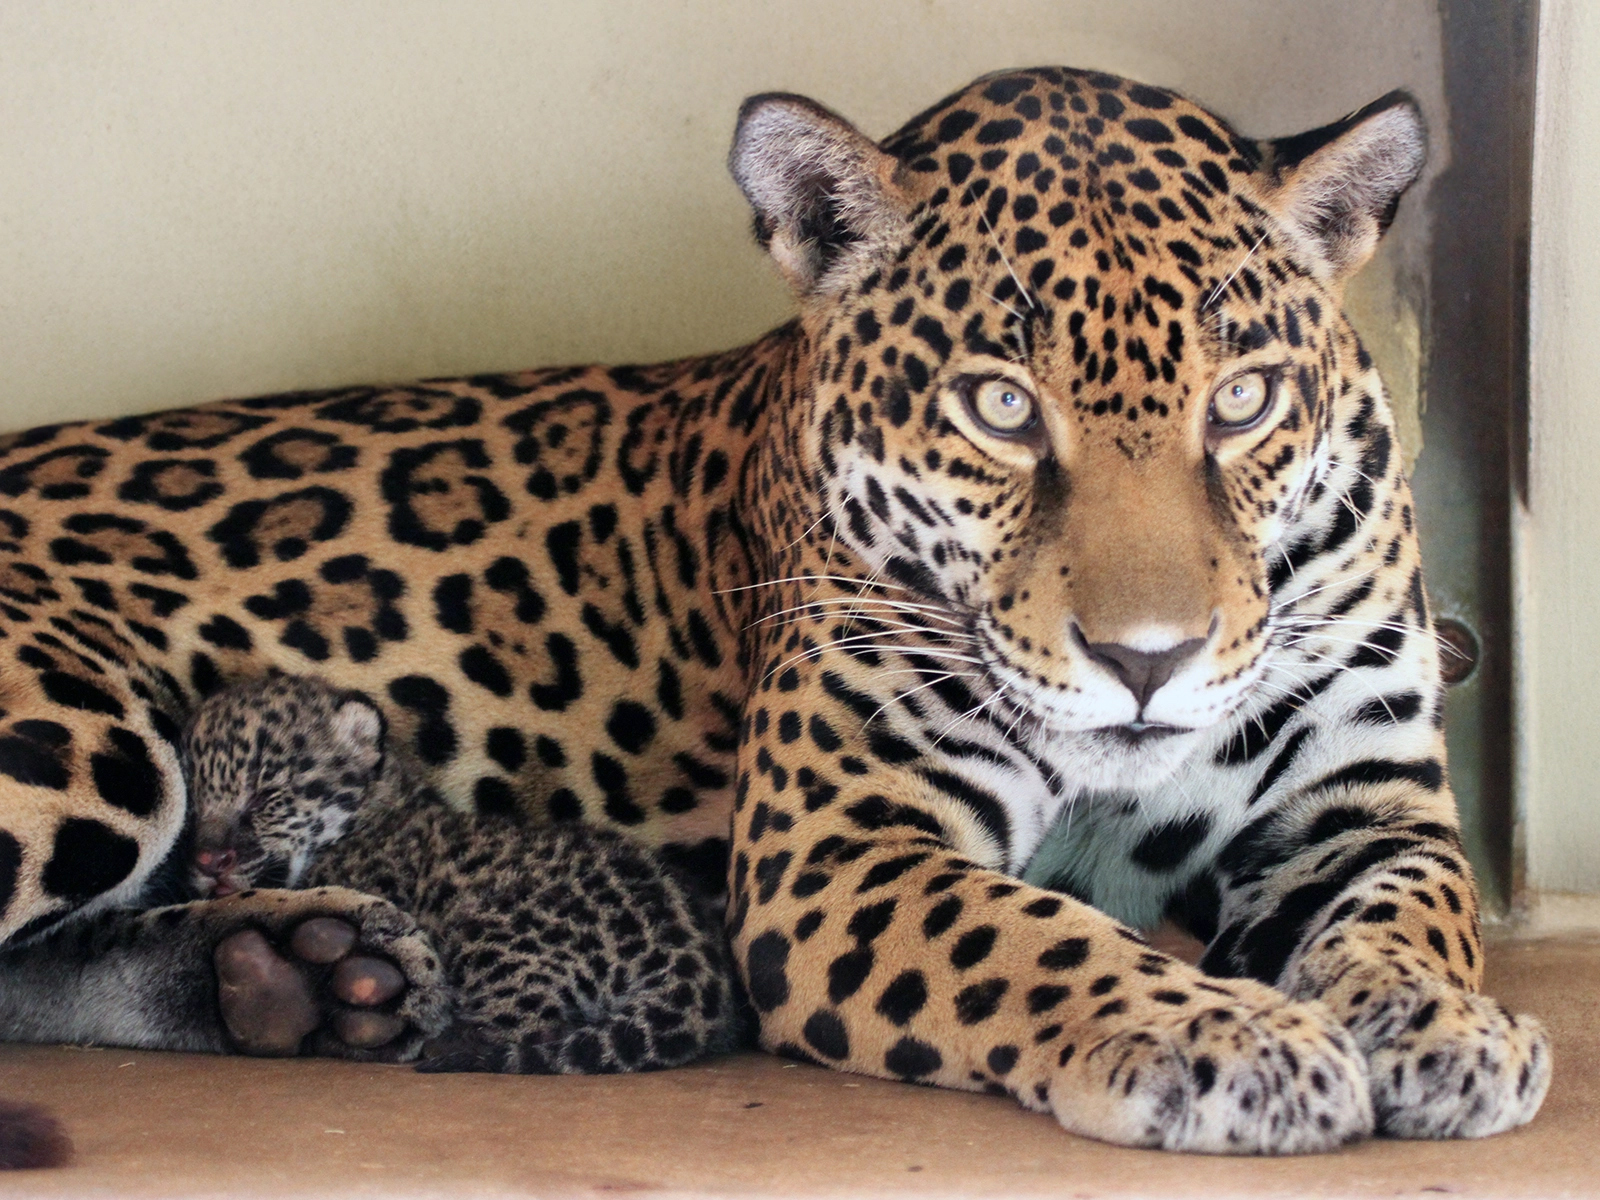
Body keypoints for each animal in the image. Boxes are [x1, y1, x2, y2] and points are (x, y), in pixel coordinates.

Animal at [181, 673, 745, 1073]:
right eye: (195, 804)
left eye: (265, 796)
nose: (207, 861)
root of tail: (696, 965)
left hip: (493, 932)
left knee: (523, 1028)